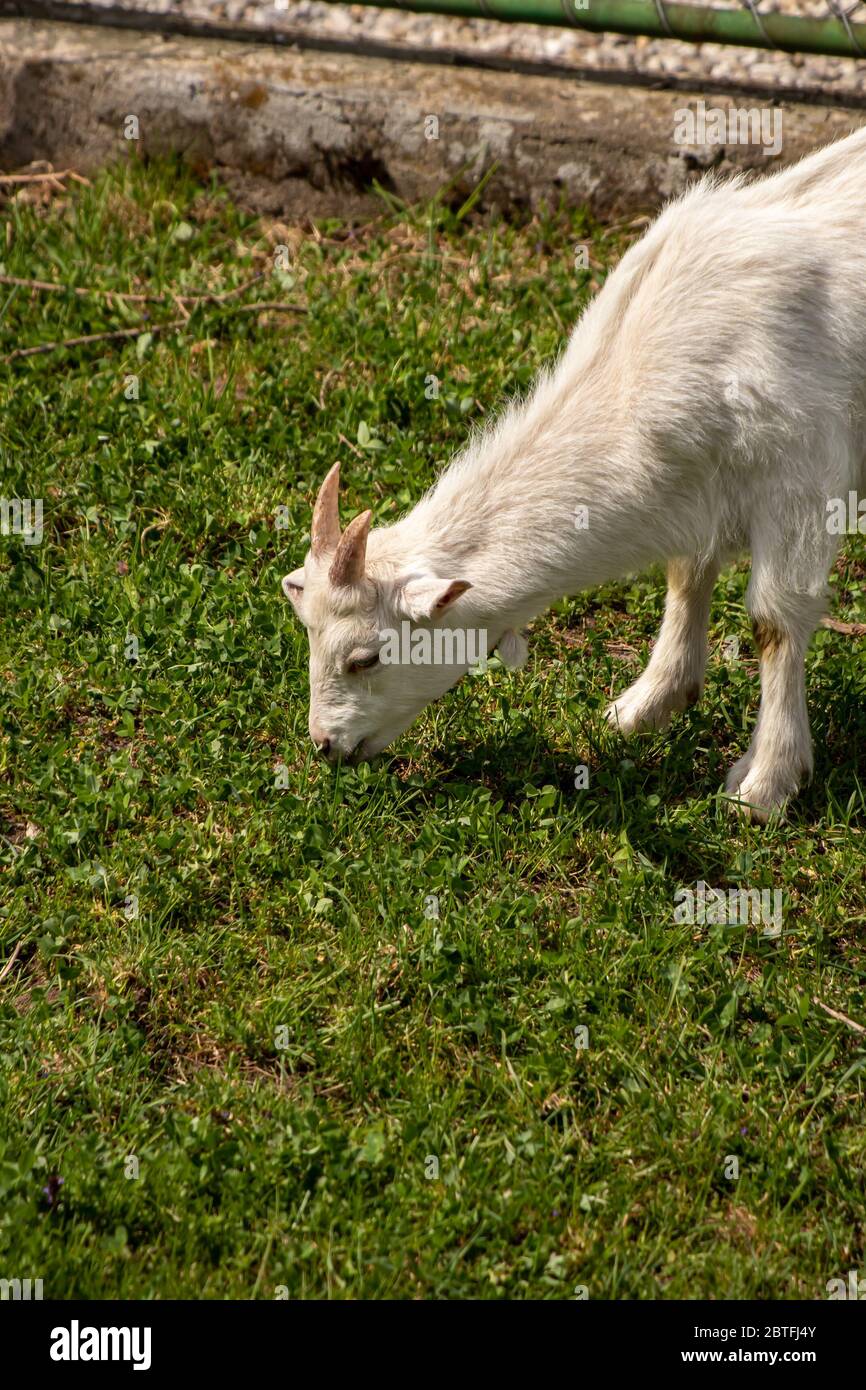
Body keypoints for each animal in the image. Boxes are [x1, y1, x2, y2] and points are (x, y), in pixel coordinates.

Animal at [283, 126, 866, 821]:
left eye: (366, 657)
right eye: (309, 633)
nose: (325, 745)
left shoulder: (802, 472)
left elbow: (775, 619)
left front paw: (765, 784)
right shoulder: (703, 482)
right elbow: (686, 574)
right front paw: (647, 704)